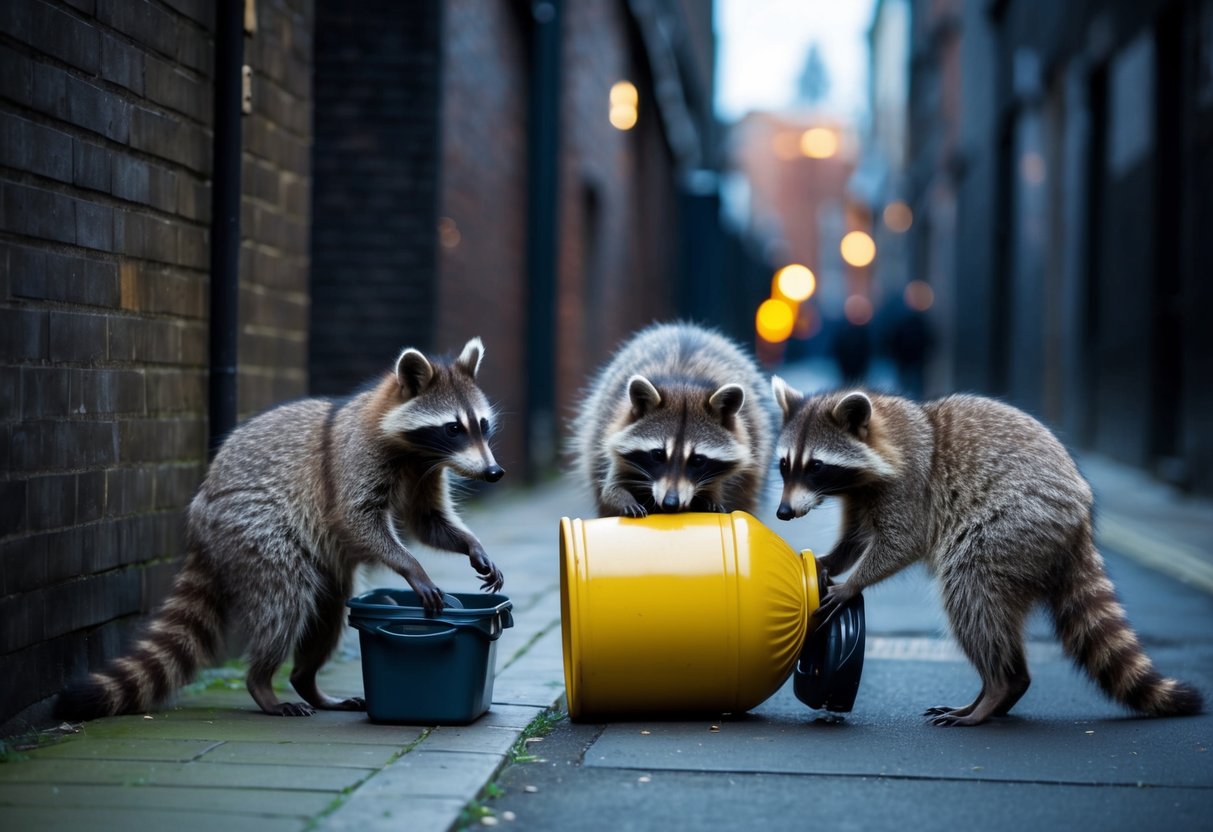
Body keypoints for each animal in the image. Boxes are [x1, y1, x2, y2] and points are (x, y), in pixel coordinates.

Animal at [57, 338, 505, 719]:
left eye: (482, 425)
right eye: (453, 428)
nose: (494, 473)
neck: (415, 449)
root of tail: (200, 517)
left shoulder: (427, 469)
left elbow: (427, 521)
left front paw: (471, 545)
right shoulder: (356, 456)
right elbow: (355, 518)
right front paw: (412, 567)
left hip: (318, 564)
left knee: (329, 612)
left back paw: (306, 681)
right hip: (254, 529)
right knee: (284, 602)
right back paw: (263, 682)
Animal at [572, 322, 774, 517]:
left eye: (698, 460)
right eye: (657, 455)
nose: (670, 503)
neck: (683, 383)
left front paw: (710, 500)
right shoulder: (617, 444)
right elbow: (610, 488)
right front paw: (622, 499)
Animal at [771, 379, 1204, 726]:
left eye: (816, 466)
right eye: (784, 465)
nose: (783, 513)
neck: (883, 433)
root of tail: (1080, 524)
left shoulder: (911, 485)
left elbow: (902, 541)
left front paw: (852, 583)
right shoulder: (860, 495)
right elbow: (857, 537)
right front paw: (830, 560)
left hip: (1012, 526)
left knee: (971, 594)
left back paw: (996, 688)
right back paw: (996, 691)